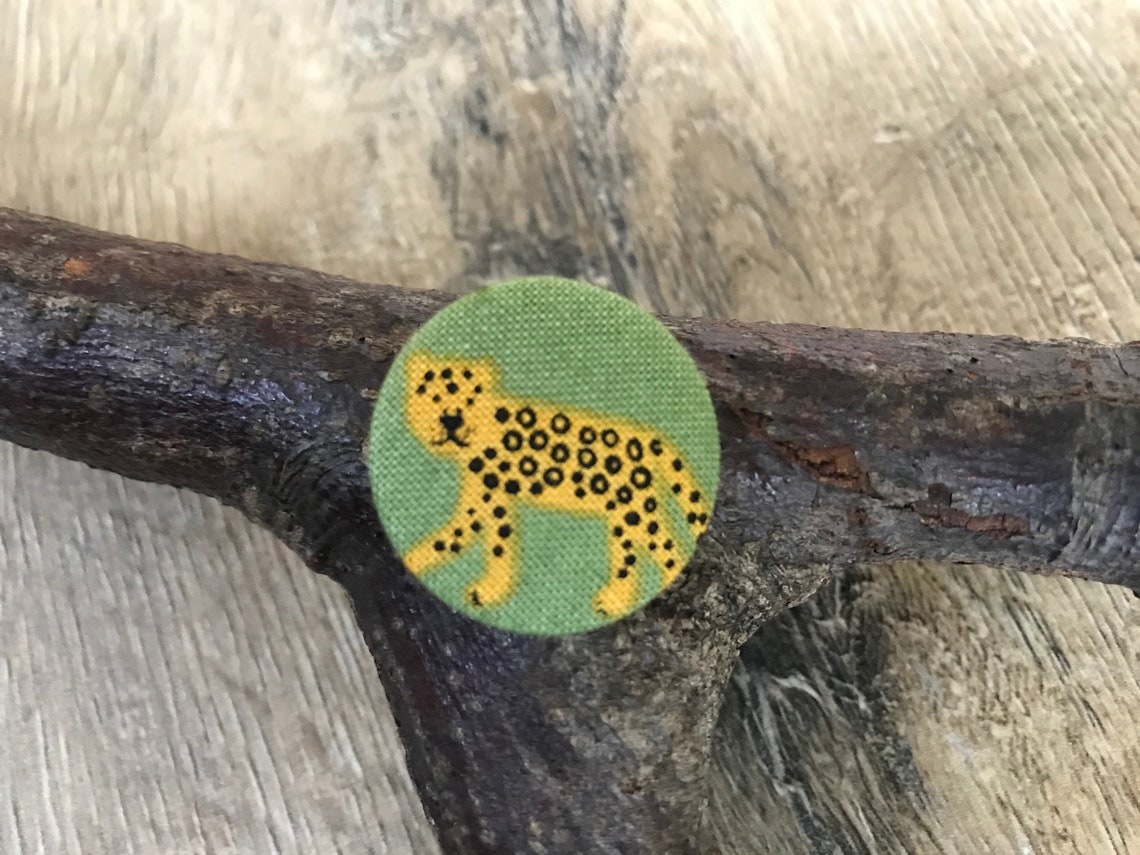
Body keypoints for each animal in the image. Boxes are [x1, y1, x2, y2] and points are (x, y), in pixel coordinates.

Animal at [398, 350, 712, 620]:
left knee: (667, 551)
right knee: (633, 558)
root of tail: (649, 441)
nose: (451, 419)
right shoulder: (484, 506)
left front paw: (482, 589)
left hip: (637, 513)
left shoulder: (493, 503)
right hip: (625, 518)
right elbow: (470, 540)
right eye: (431, 394)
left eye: (471, 398)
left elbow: (480, 543)